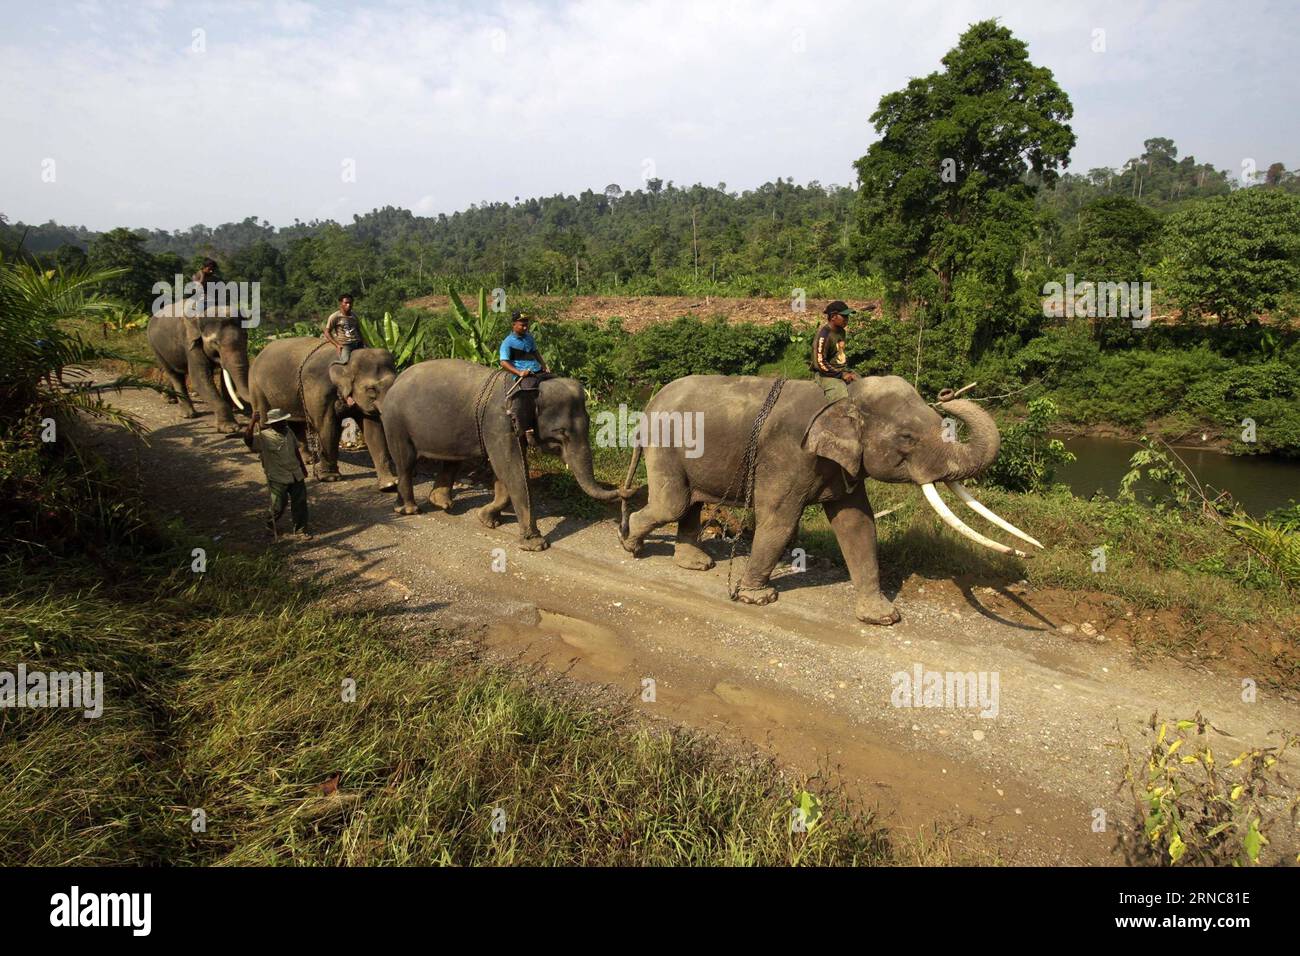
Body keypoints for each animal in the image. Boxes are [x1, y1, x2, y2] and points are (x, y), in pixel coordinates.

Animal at [147, 304, 251, 434]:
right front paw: (230, 428)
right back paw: (188, 415)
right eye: (215, 342)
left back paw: (169, 399)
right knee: (175, 375)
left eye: (246, 337)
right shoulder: (191, 342)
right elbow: (199, 380)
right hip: (155, 347)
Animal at [248, 336, 398, 490]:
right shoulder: (318, 389)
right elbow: (328, 427)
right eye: (371, 389)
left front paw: (389, 484)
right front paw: (330, 478)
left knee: (296, 424)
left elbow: (373, 430)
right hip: (256, 387)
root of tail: (260, 352)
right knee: (264, 419)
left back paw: (308, 460)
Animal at [382, 358, 623, 551]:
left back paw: (438, 504)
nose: (624, 491)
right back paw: (410, 509)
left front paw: (488, 520)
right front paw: (536, 545)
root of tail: (397, 380)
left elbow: (505, 471)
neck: (529, 386)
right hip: (395, 422)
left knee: (451, 461)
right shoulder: (498, 422)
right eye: (561, 433)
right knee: (405, 462)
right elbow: (510, 468)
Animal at [619, 374, 1043, 626]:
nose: (947, 393)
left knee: (688, 502)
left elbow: (858, 524)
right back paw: (631, 545)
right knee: (672, 502)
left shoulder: (841, 465)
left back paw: (694, 564)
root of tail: (651, 401)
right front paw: (759, 598)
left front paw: (882, 617)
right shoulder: (787, 453)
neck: (843, 396)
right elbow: (779, 521)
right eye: (907, 437)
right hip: (664, 443)